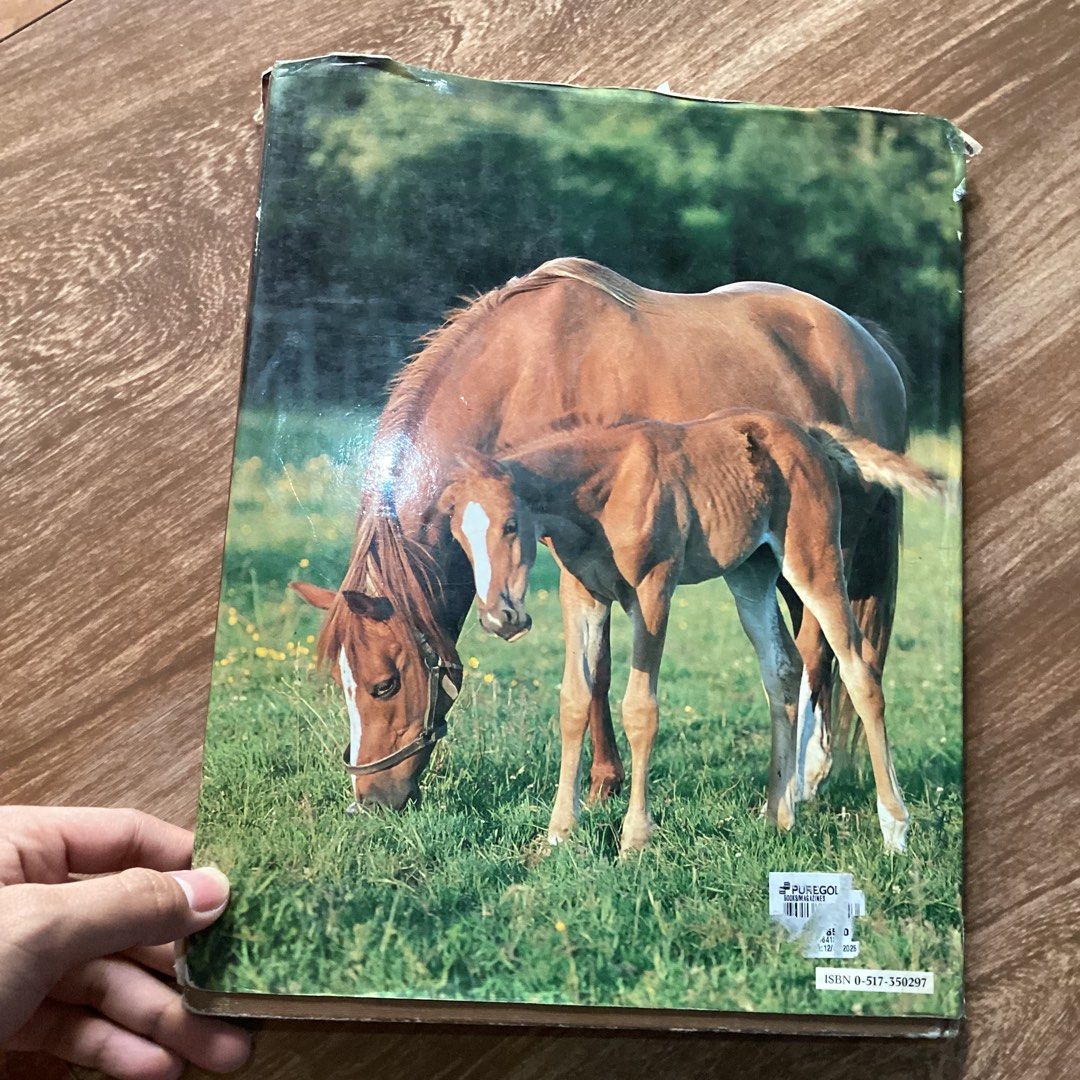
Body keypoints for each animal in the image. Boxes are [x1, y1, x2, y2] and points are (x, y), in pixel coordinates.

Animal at [290, 258, 908, 818]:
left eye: (385, 685)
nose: (369, 801)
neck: (527, 373)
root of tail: (867, 343)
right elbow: (596, 672)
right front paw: (602, 785)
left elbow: (604, 670)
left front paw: (605, 784)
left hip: (825, 547)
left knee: (821, 647)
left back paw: (806, 779)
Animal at [439, 412, 945, 852]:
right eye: (459, 538)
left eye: (510, 525)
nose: (500, 618)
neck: (604, 492)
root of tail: (808, 434)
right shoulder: (581, 593)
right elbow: (574, 702)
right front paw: (559, 833)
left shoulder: (653, 589)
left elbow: (640, 709)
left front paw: (635, 839)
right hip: (750, 573)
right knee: (782, 668)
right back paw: (777, 815)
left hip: (813, 560)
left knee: (860, 668)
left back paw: (894, 828)